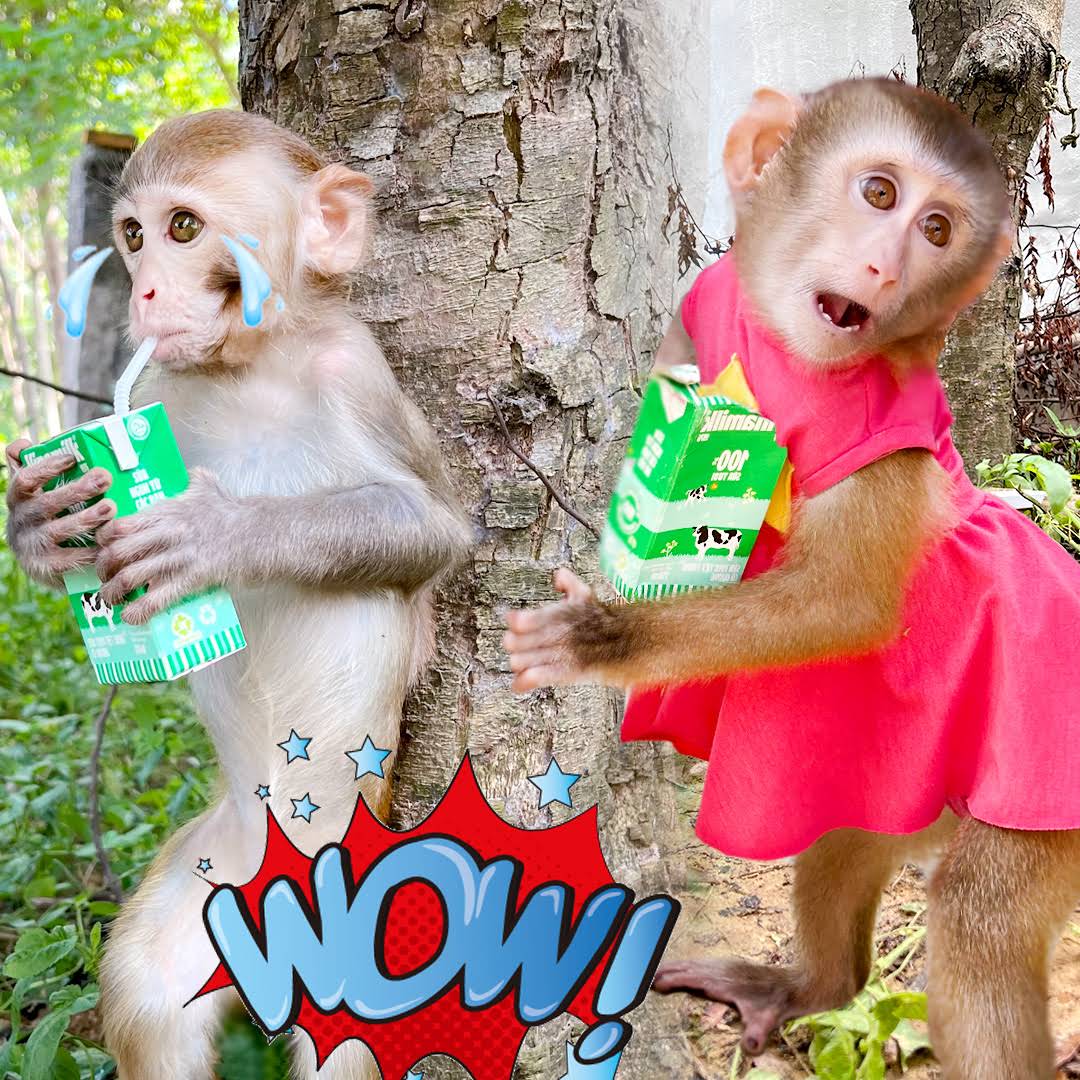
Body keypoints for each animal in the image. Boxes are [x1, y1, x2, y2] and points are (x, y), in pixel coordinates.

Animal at [5, 110, 473, 1080]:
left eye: (184, 229)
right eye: (133, 236)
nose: (144, 292)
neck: (250, 371)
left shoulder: (358, 375)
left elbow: (433, 531)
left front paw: (214, 532)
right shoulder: (151, 389)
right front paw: (38, 516)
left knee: (350, 1044)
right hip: (213, 876)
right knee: (147, 997)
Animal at [504, 78, 1080, 1079]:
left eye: (937, 230)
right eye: (881, 194)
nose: (886, 269)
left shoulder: (884, 436)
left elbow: (844, 605)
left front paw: (611, 639)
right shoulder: (710, 297)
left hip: (1047, 799)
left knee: (982, 920)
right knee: (851, 826)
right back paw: (817, 987)